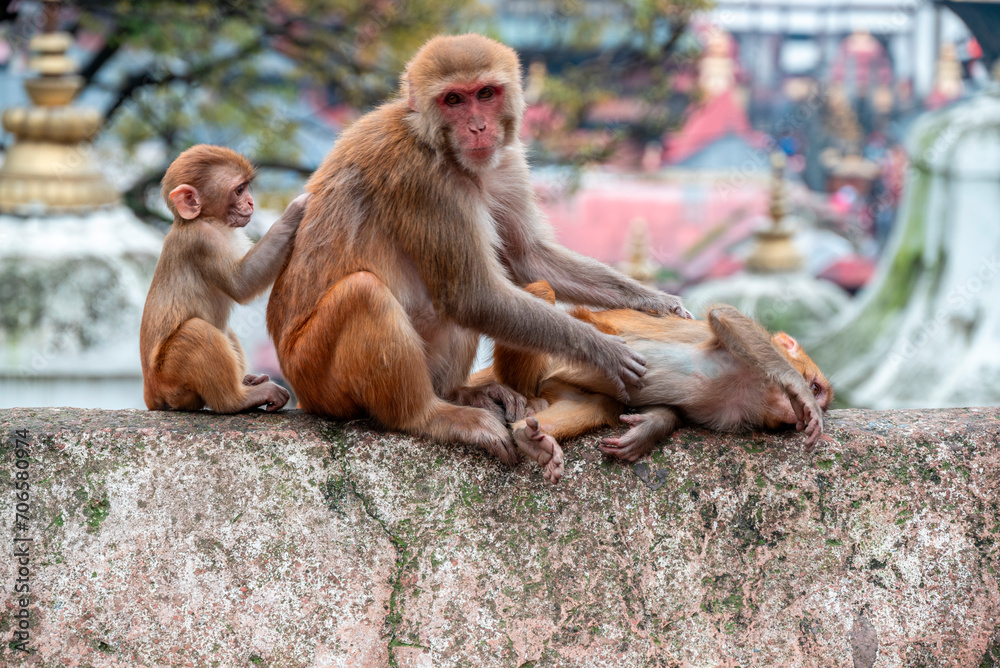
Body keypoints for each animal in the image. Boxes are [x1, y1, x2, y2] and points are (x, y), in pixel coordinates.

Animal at [140, 144, 310, 413]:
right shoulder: (203, 241)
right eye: (239, 190)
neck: (201, 219)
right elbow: (242, 283)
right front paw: (297, 207)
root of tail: (151, 396)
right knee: (195, 331)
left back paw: (248, 382)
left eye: (246, 188)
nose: (251, 202)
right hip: (170, 381)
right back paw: (237, 399)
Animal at [266, 34, 690, 465]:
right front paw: (601, 350)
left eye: (485, 93)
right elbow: (472, 295)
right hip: (317, 376)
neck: (435, 143)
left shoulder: (506, 163)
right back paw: (430, 415)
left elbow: (527, 257)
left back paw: (463, 393)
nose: (478, 127)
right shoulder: (425, 181)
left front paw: (656, 303)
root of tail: (300, 390)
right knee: (366, 293)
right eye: (453, 99)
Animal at [475, 281, 832, 483]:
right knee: (542, 294)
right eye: (816, 387)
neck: (754, 385)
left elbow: (674, 412)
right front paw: (796, 388)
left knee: (596, 403)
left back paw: (529, 437)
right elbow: (723, 316)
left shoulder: (728, 414)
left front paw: (650, 428)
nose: (793, 411)